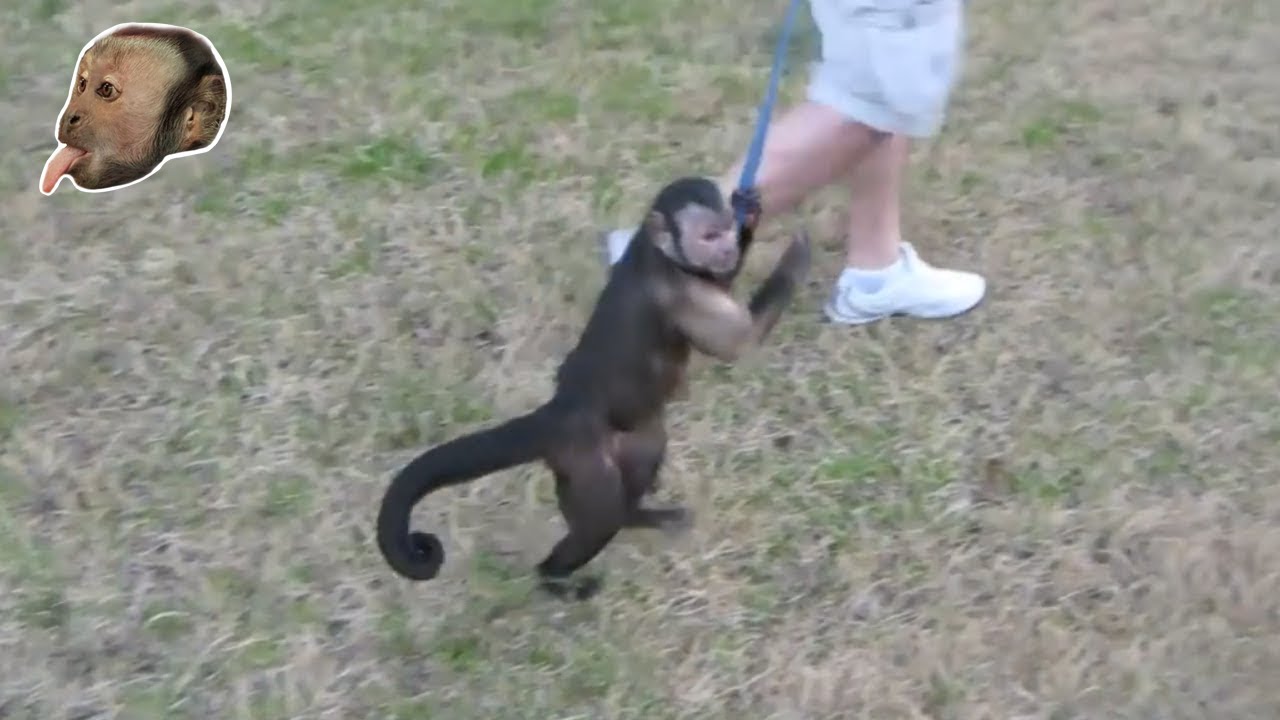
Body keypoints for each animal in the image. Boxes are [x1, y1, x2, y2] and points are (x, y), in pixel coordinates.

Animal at [375, 176, 811, 600]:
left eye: (724, 231)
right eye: (708, 236)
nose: (725, 247)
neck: (654, 251)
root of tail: (557, 413)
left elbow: (727, 285)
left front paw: (750, 213)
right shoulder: (681, 290)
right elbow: (740, 345)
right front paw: (797, 254)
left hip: (628, 439)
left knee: (645, 456)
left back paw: (640, 517)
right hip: (586, 465)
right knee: (598, 522)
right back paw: (556, 581)